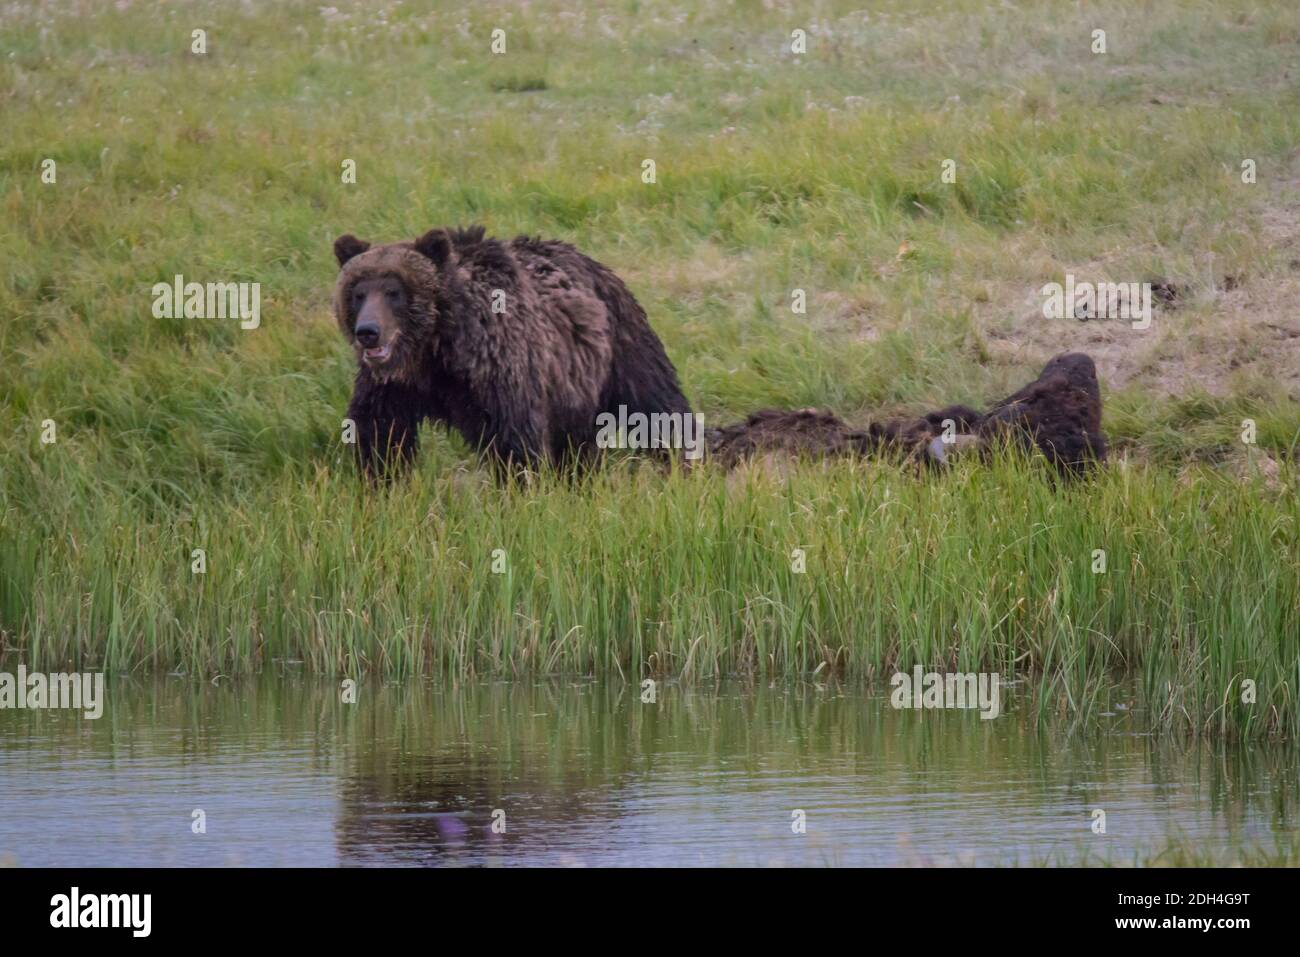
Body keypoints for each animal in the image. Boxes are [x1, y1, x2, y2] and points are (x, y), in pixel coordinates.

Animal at [332, 226, 692, 479]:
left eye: (394, 292)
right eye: (358, 293)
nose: (368, 332)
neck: (434, 350)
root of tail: (597, 264)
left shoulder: (499, 370)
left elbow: (513, 441)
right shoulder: (392, 385)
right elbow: (381, 432)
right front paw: (383, 484)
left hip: (619, 347)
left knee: (654, 405)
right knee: (578, 445)